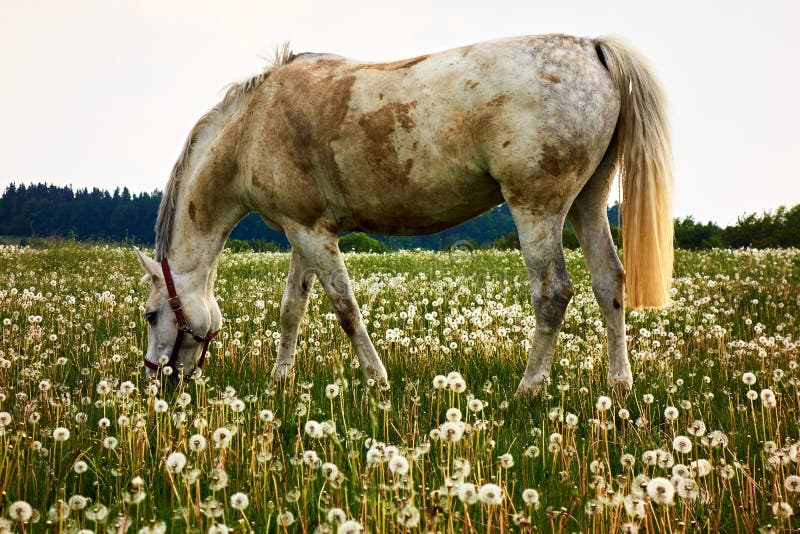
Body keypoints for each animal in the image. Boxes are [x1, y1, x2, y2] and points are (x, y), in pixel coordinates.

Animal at [134, 34, 673, 397]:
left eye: (152, 313)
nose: (156, 379)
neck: (252, 127)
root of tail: (593, 48)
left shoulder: (312, 234)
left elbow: (345, 308)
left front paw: (377, 379)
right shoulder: (303, 231)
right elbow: (292, 309)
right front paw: (279, 381)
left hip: (537, 209)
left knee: (553, 293)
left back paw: (528, 390)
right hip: (587, 203)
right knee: (609, 282)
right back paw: (619, 385)